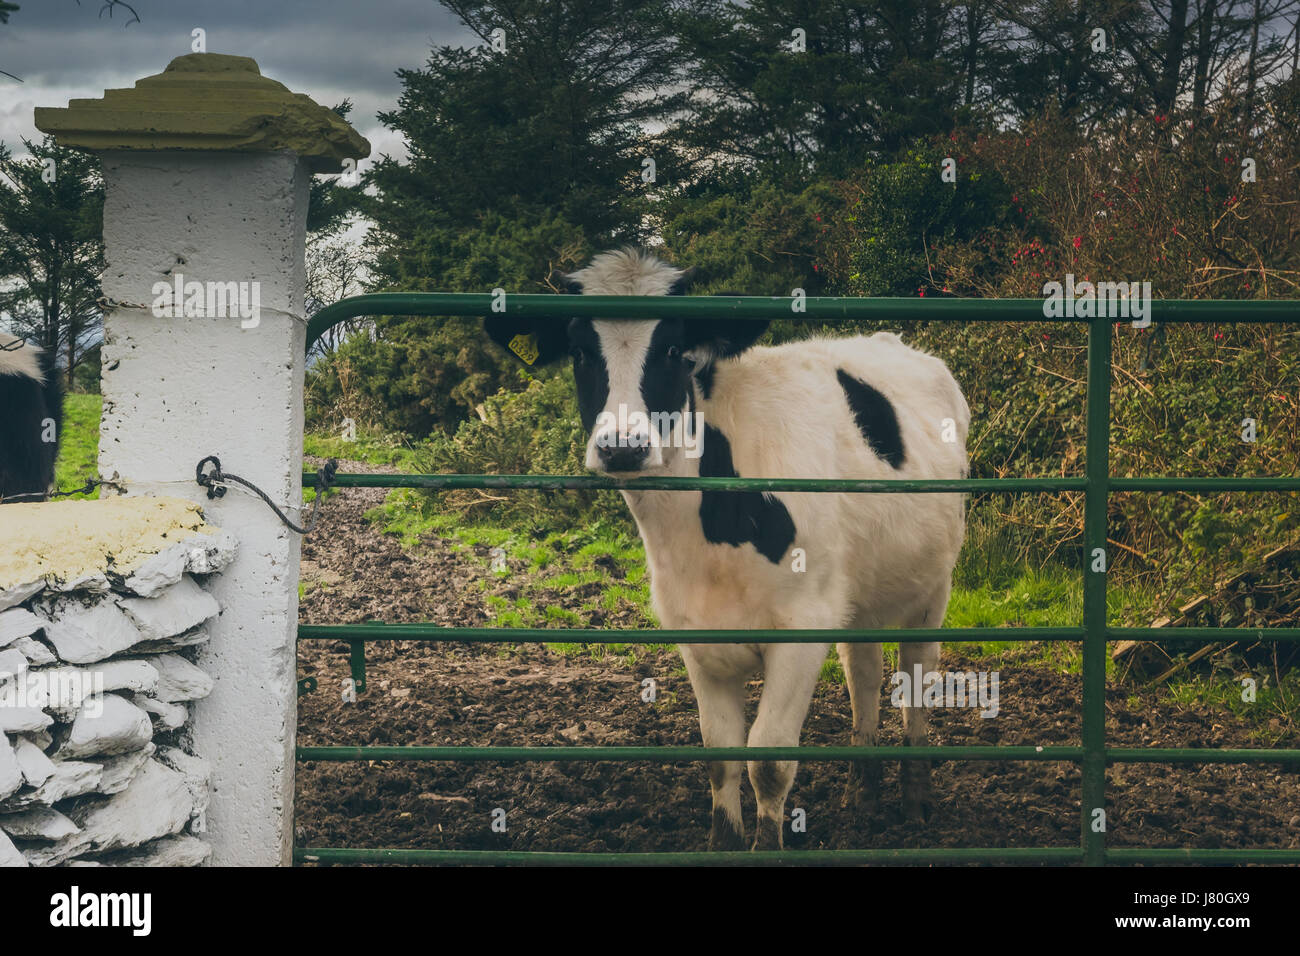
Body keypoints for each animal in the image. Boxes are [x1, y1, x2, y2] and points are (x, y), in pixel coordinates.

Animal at [485, 248, 969, 850]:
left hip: (932, 584)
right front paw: (724, 841)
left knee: (918, 673)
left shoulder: (802, 628)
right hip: (861, 590)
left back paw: (916, 797)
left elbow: (769, 761)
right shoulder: (696, 632)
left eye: (673, 349)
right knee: (864, 670)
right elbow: (720, 756)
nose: (623, 446)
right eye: (578, 351)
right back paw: (863, 793)